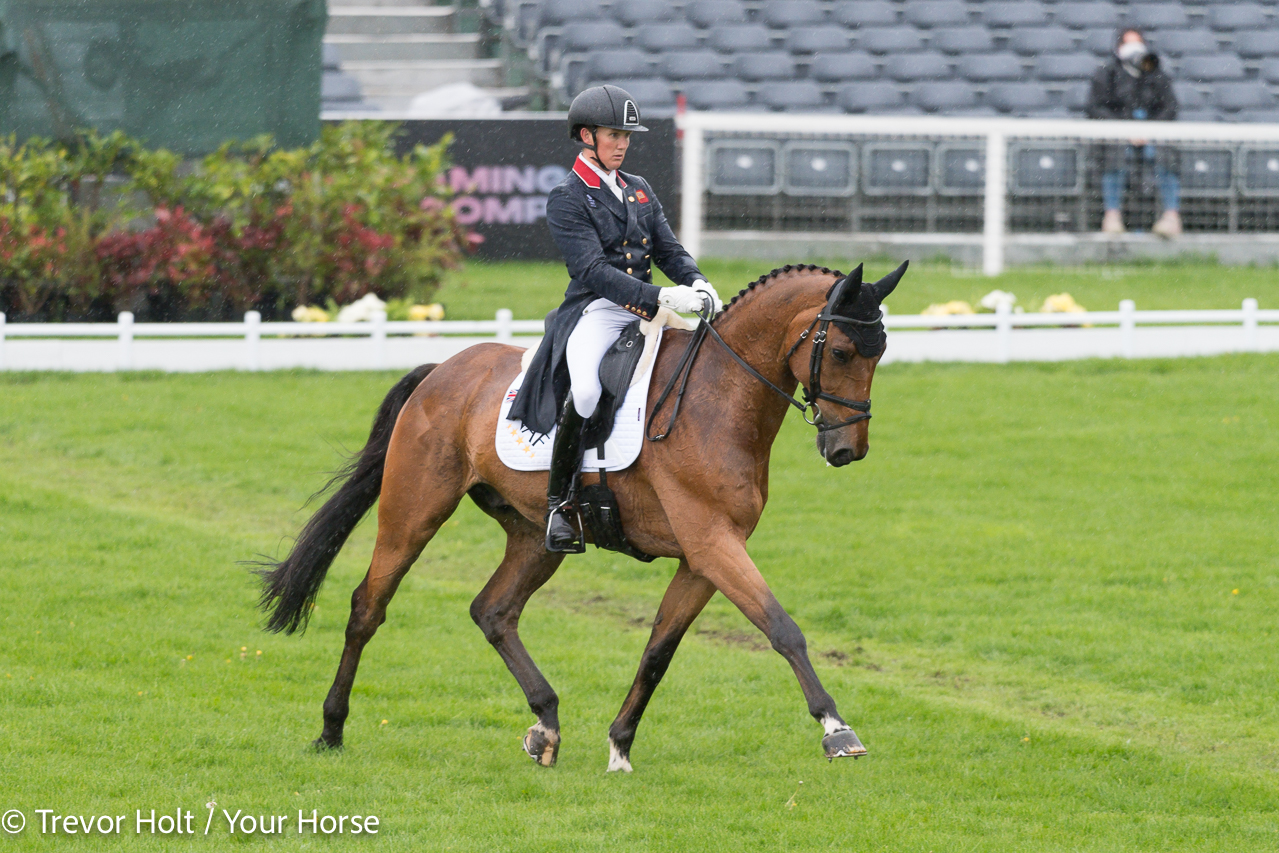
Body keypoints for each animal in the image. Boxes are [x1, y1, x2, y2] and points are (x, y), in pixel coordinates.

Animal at [256, 260, 907, 771]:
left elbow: (659, 650)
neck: (718, 398)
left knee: (493, 611)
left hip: (535, 535)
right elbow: (782, 628)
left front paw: (619, 745)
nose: (847, 450)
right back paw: (331, 729)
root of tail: (441, 370)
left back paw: (546, 725)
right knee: (368, 606)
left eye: (880, 354)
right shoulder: (713, 544)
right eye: (842, 351)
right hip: (413, 512)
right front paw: (836, 730)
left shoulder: (703, 558)